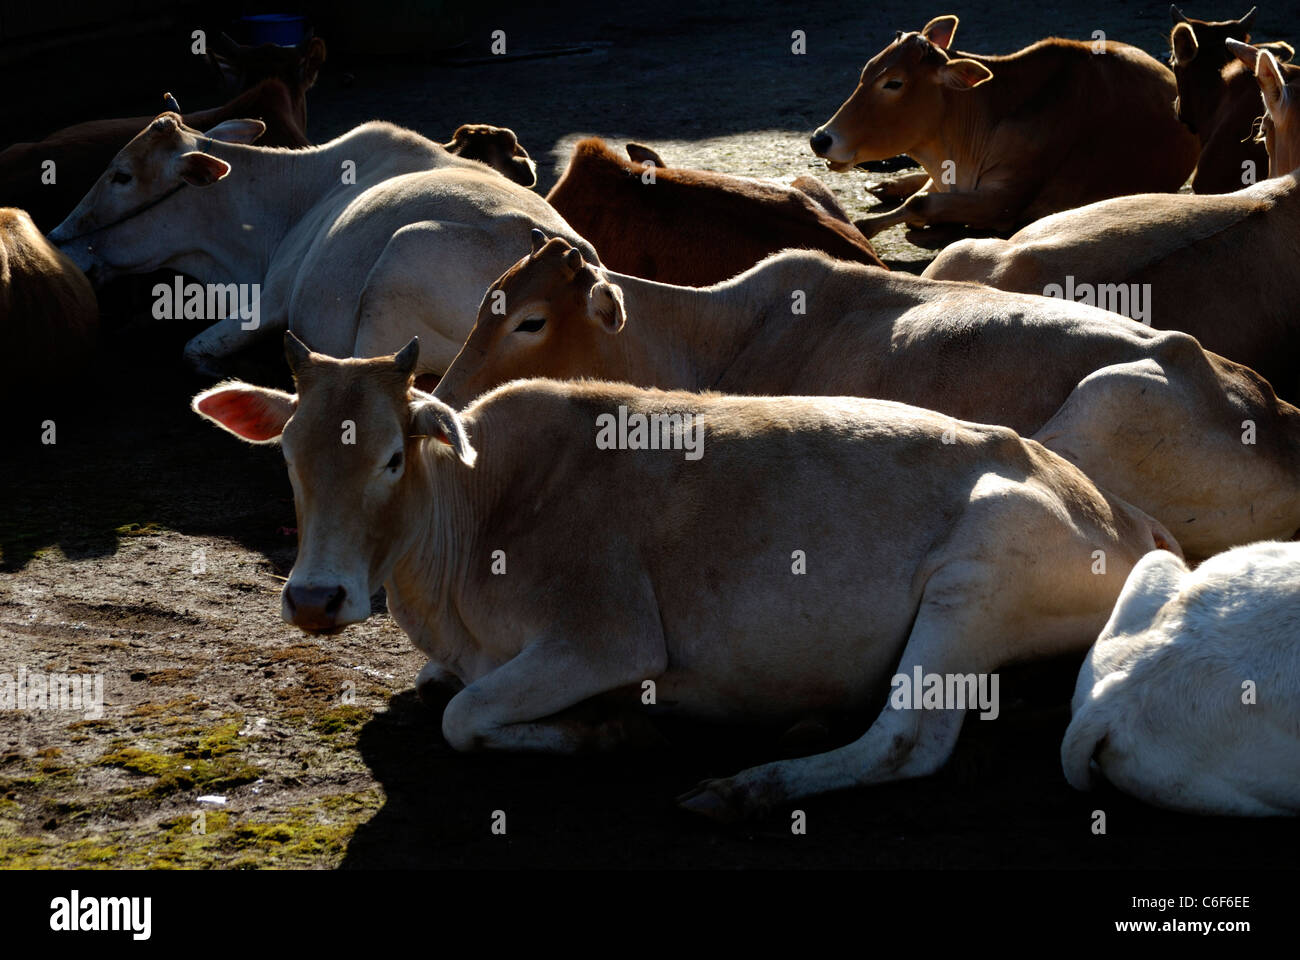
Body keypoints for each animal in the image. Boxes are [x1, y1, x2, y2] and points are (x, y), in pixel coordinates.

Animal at [192, 333, 1178, 821]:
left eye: (393, 458)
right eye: (288, 454)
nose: (314, 597)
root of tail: (1125, 512)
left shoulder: (605, 636)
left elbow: (463, 717)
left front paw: (615, 732)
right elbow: (443, 693)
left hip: (973, 581)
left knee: (907, 741)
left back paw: (750, 785)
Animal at [809, 15, 1199, 235]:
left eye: (894, 83)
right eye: (867, 69)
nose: (819, 139)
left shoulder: (1004, 200)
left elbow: (919, 206)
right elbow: (913, 202)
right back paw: (887, 185)